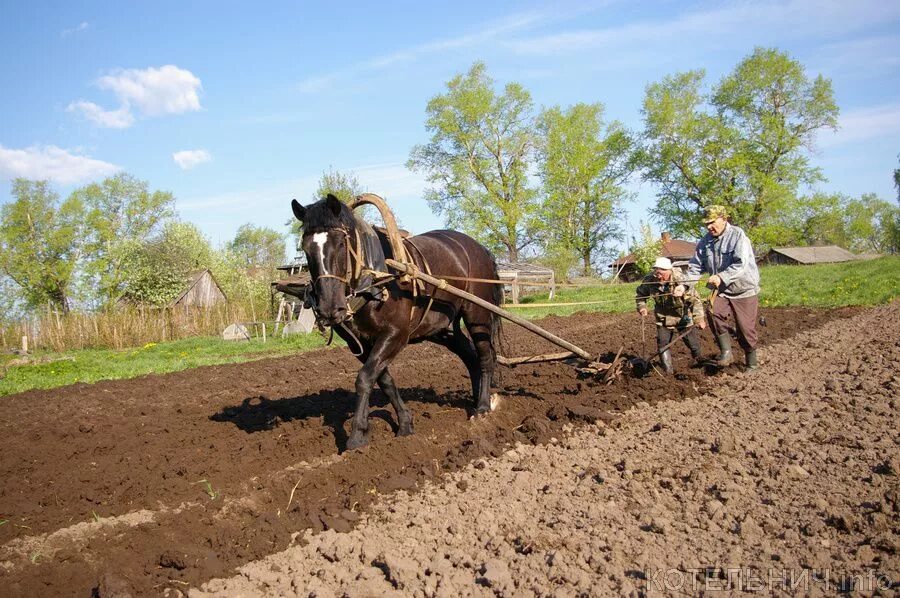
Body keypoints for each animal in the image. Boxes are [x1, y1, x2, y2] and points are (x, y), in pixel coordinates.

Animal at [292, 195, 502, 452]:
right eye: (305, 248)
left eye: (341, 243)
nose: (330, 309)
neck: (376, 279)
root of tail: (478, 247)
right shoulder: (360, 343)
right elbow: (383, 380)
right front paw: (404, 424)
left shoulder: (395, 334)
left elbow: (364, 378)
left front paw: (357, 436)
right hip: (442, 329)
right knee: (470, 357)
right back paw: (476, 399)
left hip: (477, 314)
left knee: (485, 357)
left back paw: (482, 407)